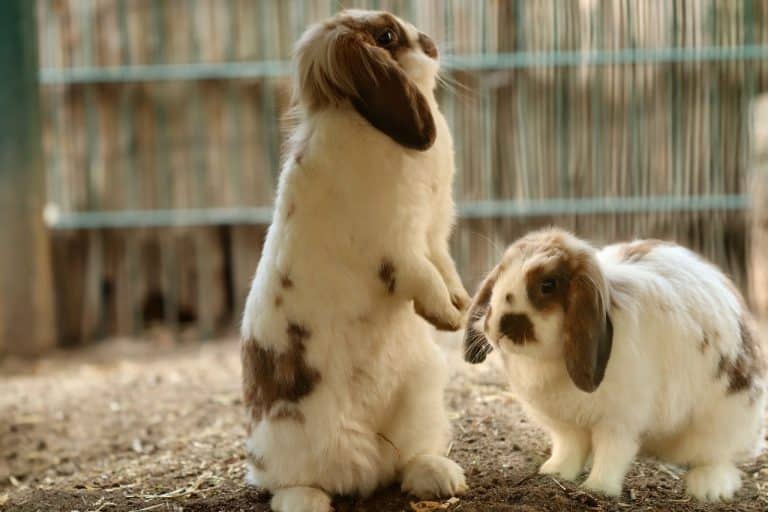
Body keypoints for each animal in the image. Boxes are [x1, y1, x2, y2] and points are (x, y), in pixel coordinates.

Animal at [240, 10, 470, 512]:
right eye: (386, 36)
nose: (431, 43)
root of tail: (364, 466)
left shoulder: (433, 233)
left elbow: (444, 267)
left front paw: (461, 306)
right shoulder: (398, 246)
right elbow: (423, 277)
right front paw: (445, 317)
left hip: (423, 399)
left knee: (405, 462)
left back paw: (440, 476)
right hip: (285, 441)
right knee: (283, 482)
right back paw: (307, 502)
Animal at [463, 227, 766, 501]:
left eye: (547, 285)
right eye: (501, 274)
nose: (497, 327)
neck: (550, 361)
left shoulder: (620, 422)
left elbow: (612, 454)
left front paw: (598, 488)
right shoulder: (566, 426)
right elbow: (569, 448)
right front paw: (554, 473)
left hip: (722, 420)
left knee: (717, 457)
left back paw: (708, 488)